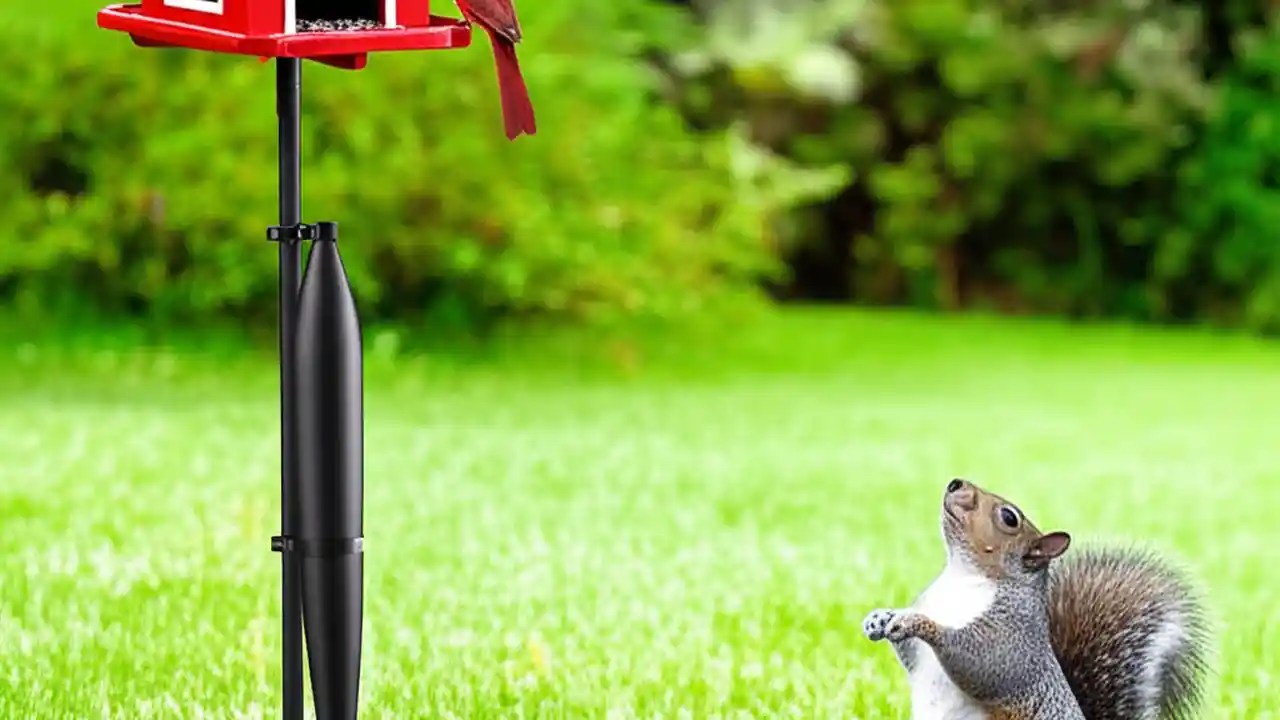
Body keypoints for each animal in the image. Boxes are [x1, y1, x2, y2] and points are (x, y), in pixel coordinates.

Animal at [862, 478, 1210, 720]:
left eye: (1009, 518)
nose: (955, 483)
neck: (963, 576)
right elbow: (911, 655)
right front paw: (879, 618)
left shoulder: (1013, 636)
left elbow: (982, 662)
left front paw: (918, 623)